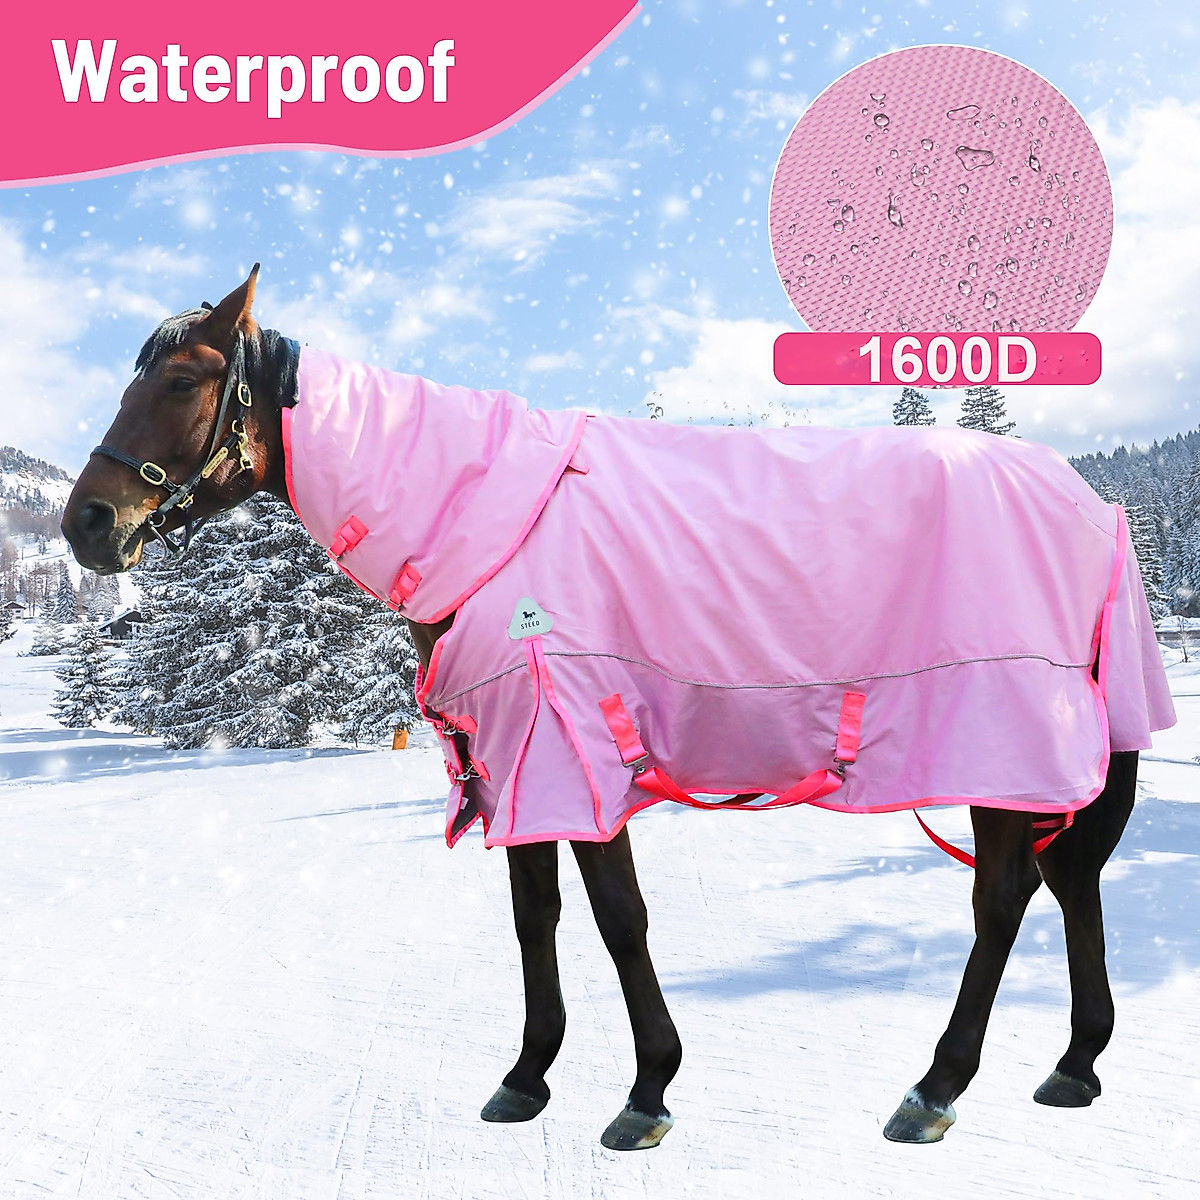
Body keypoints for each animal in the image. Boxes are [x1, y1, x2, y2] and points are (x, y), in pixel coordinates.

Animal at [62, 266, 1170, 1152]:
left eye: (178, 381)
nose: (87, 522)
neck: (497, 521)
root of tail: (1090, 505)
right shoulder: (509, 761)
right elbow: (536, 917)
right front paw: (527, 1076)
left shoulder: (576, 751)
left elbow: (618, 918)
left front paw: (647, 1091)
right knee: (1068, 879)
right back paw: (1075, 1063)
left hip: (1002, 746)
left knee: (1003, 898)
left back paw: (937, 1086)